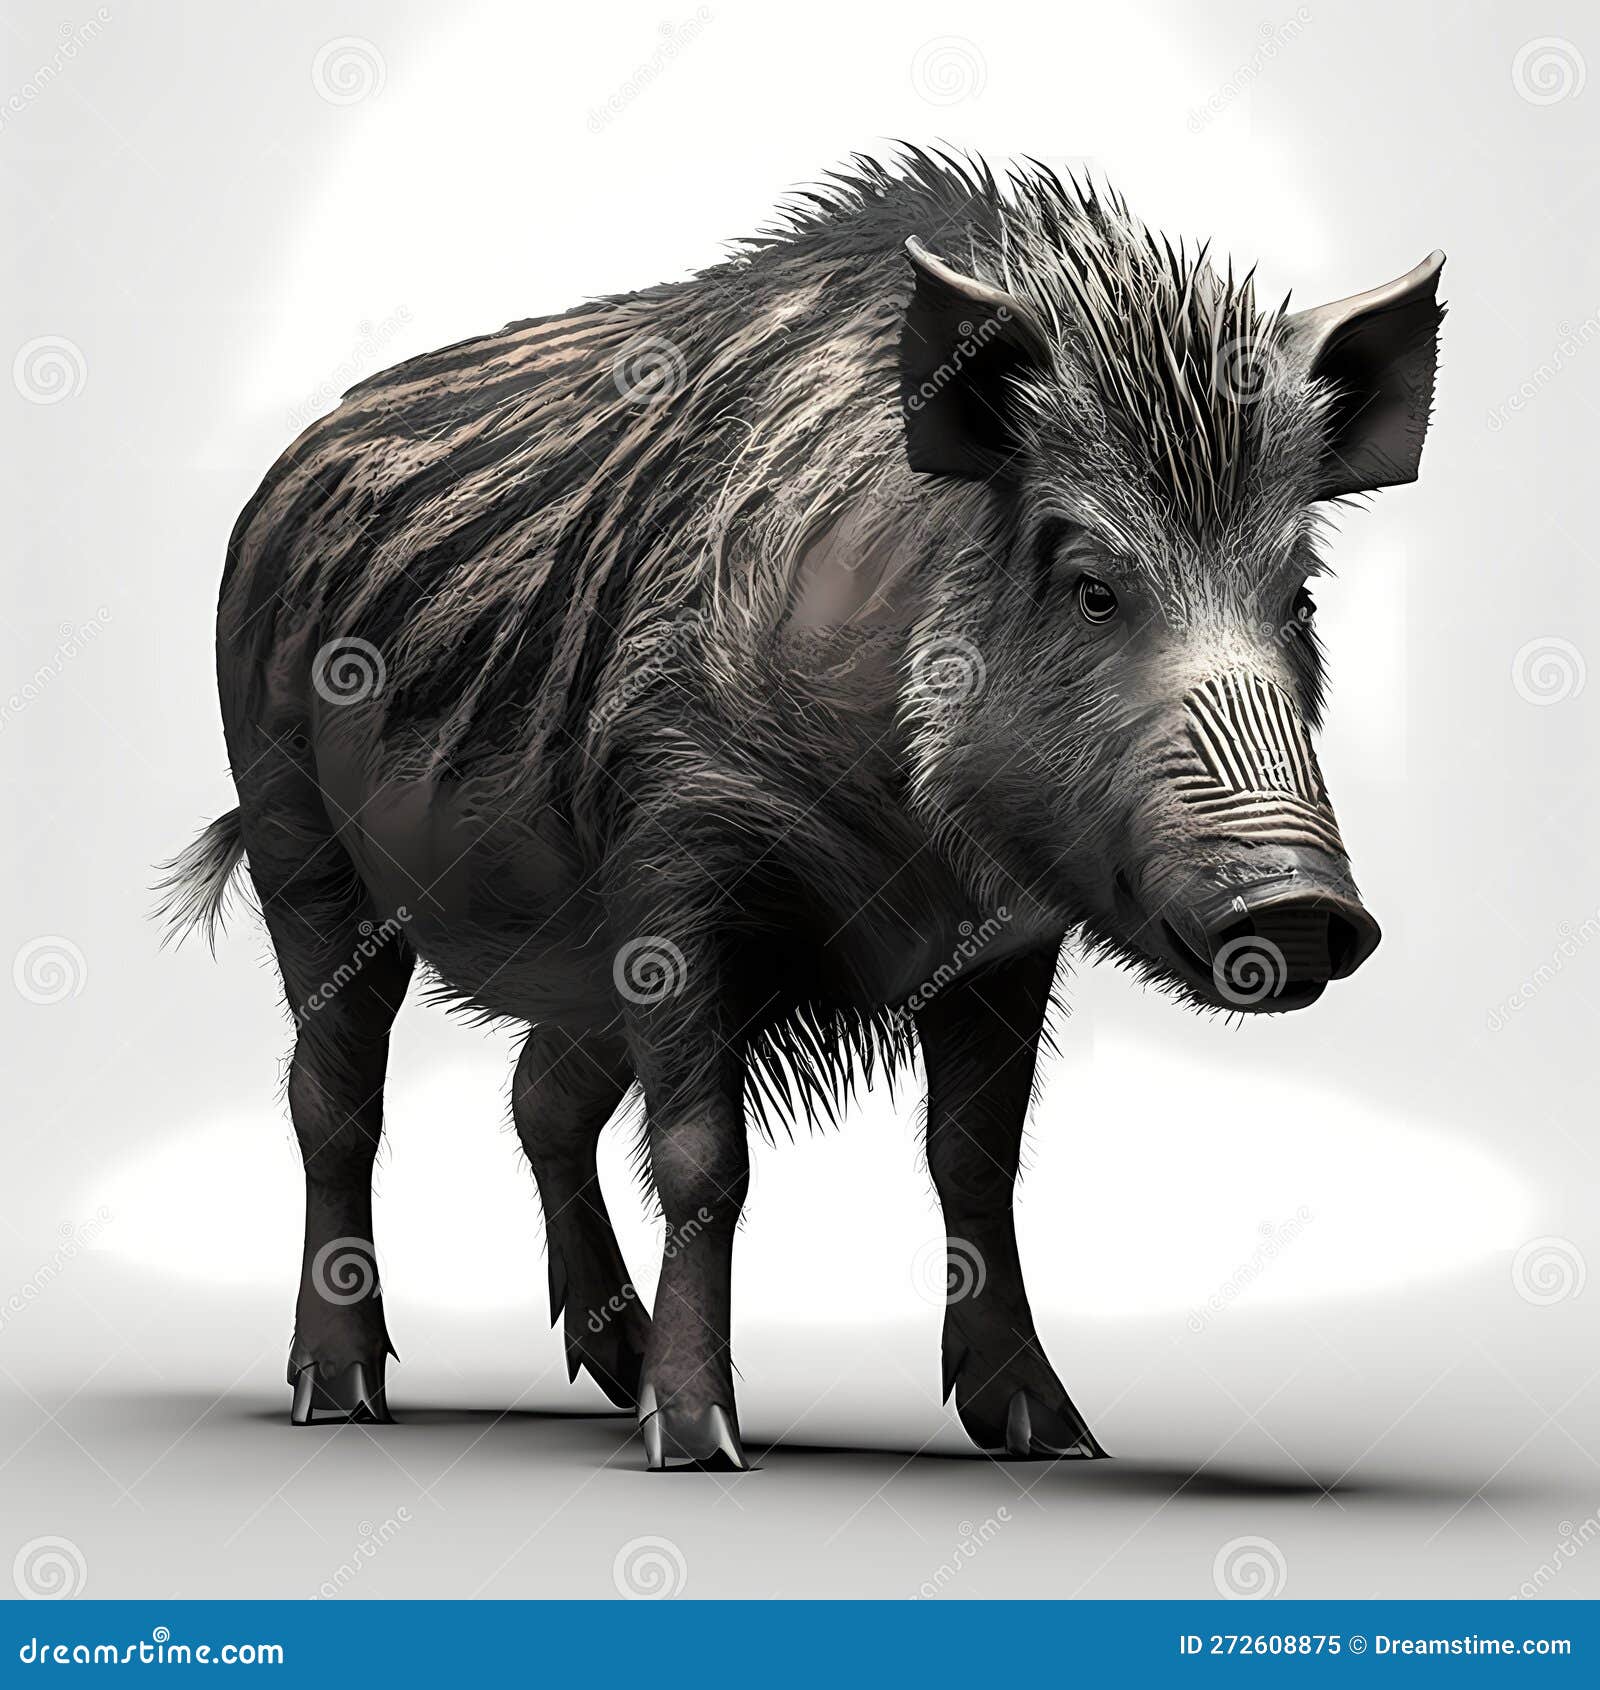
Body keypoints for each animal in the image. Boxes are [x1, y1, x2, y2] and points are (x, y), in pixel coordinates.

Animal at [161, 150, 1444, 1470]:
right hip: (295, 831)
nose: (1295, 904)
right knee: (332, 1097)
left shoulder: (1003, 938)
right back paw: (341, 1394)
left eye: (1297, 597)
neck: (911, 838)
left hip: (565, 949)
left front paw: (1050, 1435)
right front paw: (697, 1444)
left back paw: (605, 1375)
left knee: (538, 1095)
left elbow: (975, 1159)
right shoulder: (673, 862)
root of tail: (284, 472)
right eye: (1091, 584)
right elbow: (703, 1160)